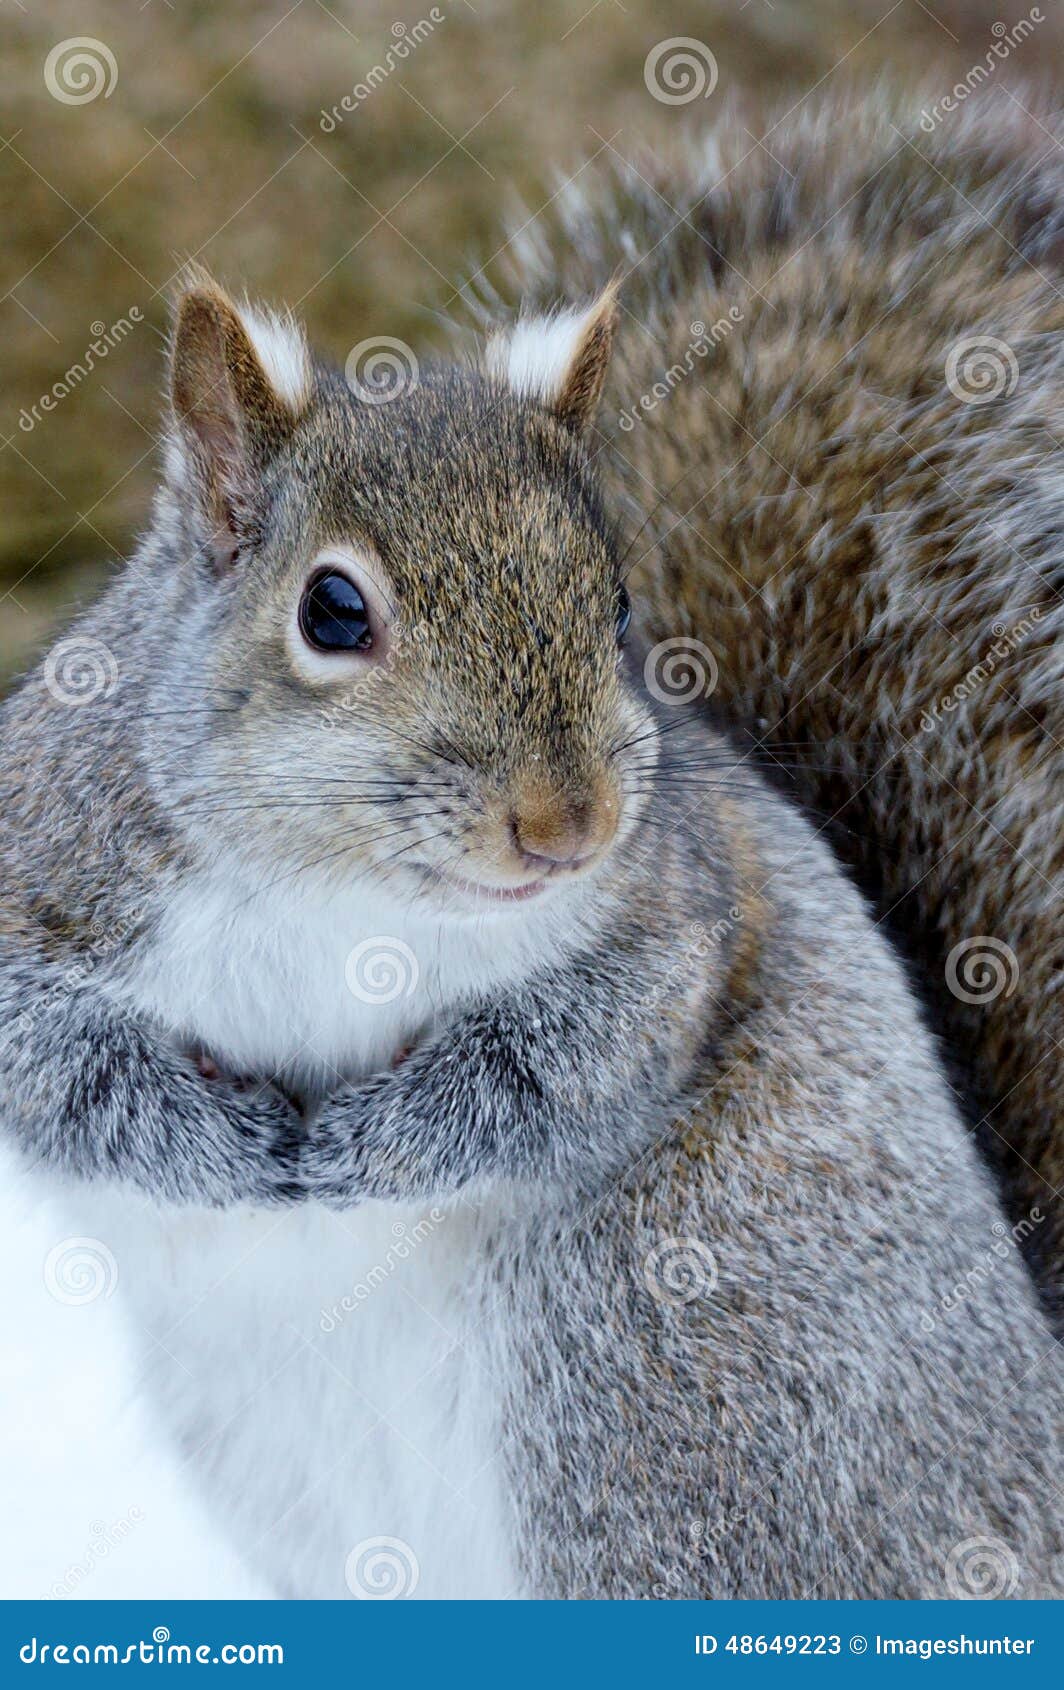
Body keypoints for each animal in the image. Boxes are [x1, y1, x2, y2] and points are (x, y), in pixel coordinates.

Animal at [0, 258, 1061, 1600]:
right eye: (331, 610)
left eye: (613, 603)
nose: (571, 827)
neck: (344, 892)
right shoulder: (42, 873)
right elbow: (47, 1067)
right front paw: (218, 1144)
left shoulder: (675, 915)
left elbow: (571, 1058)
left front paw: (371, 1145)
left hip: (662, 1396)